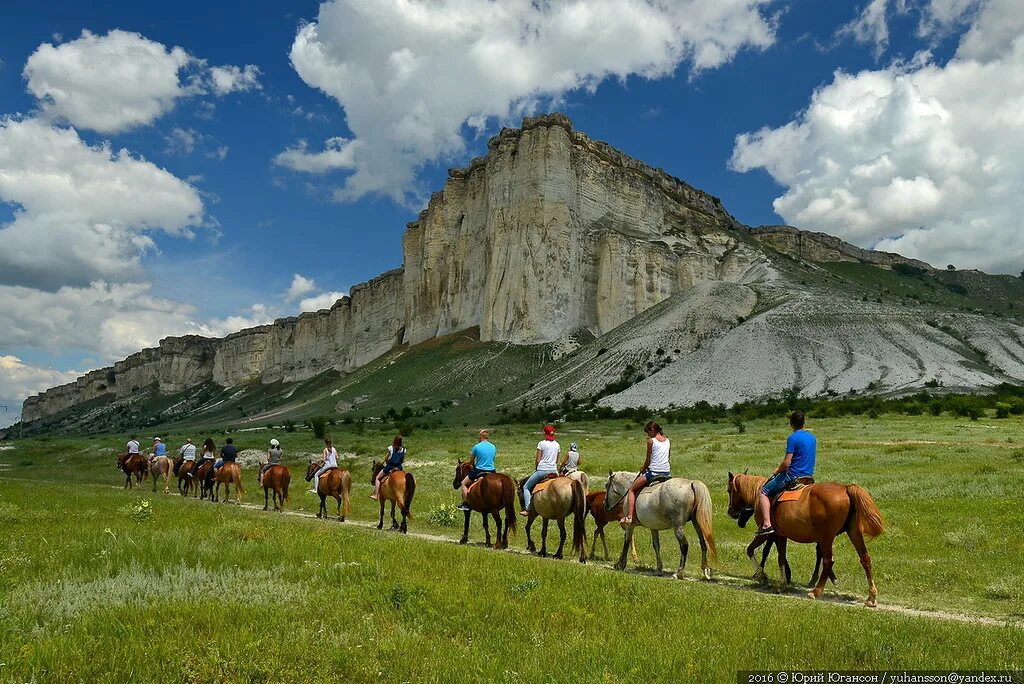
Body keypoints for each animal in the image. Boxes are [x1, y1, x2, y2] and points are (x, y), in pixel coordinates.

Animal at [724, 473, 884, 606]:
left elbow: (752, 549)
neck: (759, 494)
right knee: (865, 558)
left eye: (729, 490)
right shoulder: (780, 535)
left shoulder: (767, 533)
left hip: (826, 537)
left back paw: (816, 591)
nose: (731, 512)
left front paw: (762, 575)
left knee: (828, 560)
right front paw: (782, 582)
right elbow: (781, 557)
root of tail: (846, 488)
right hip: (853, 532)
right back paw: (871, 597)